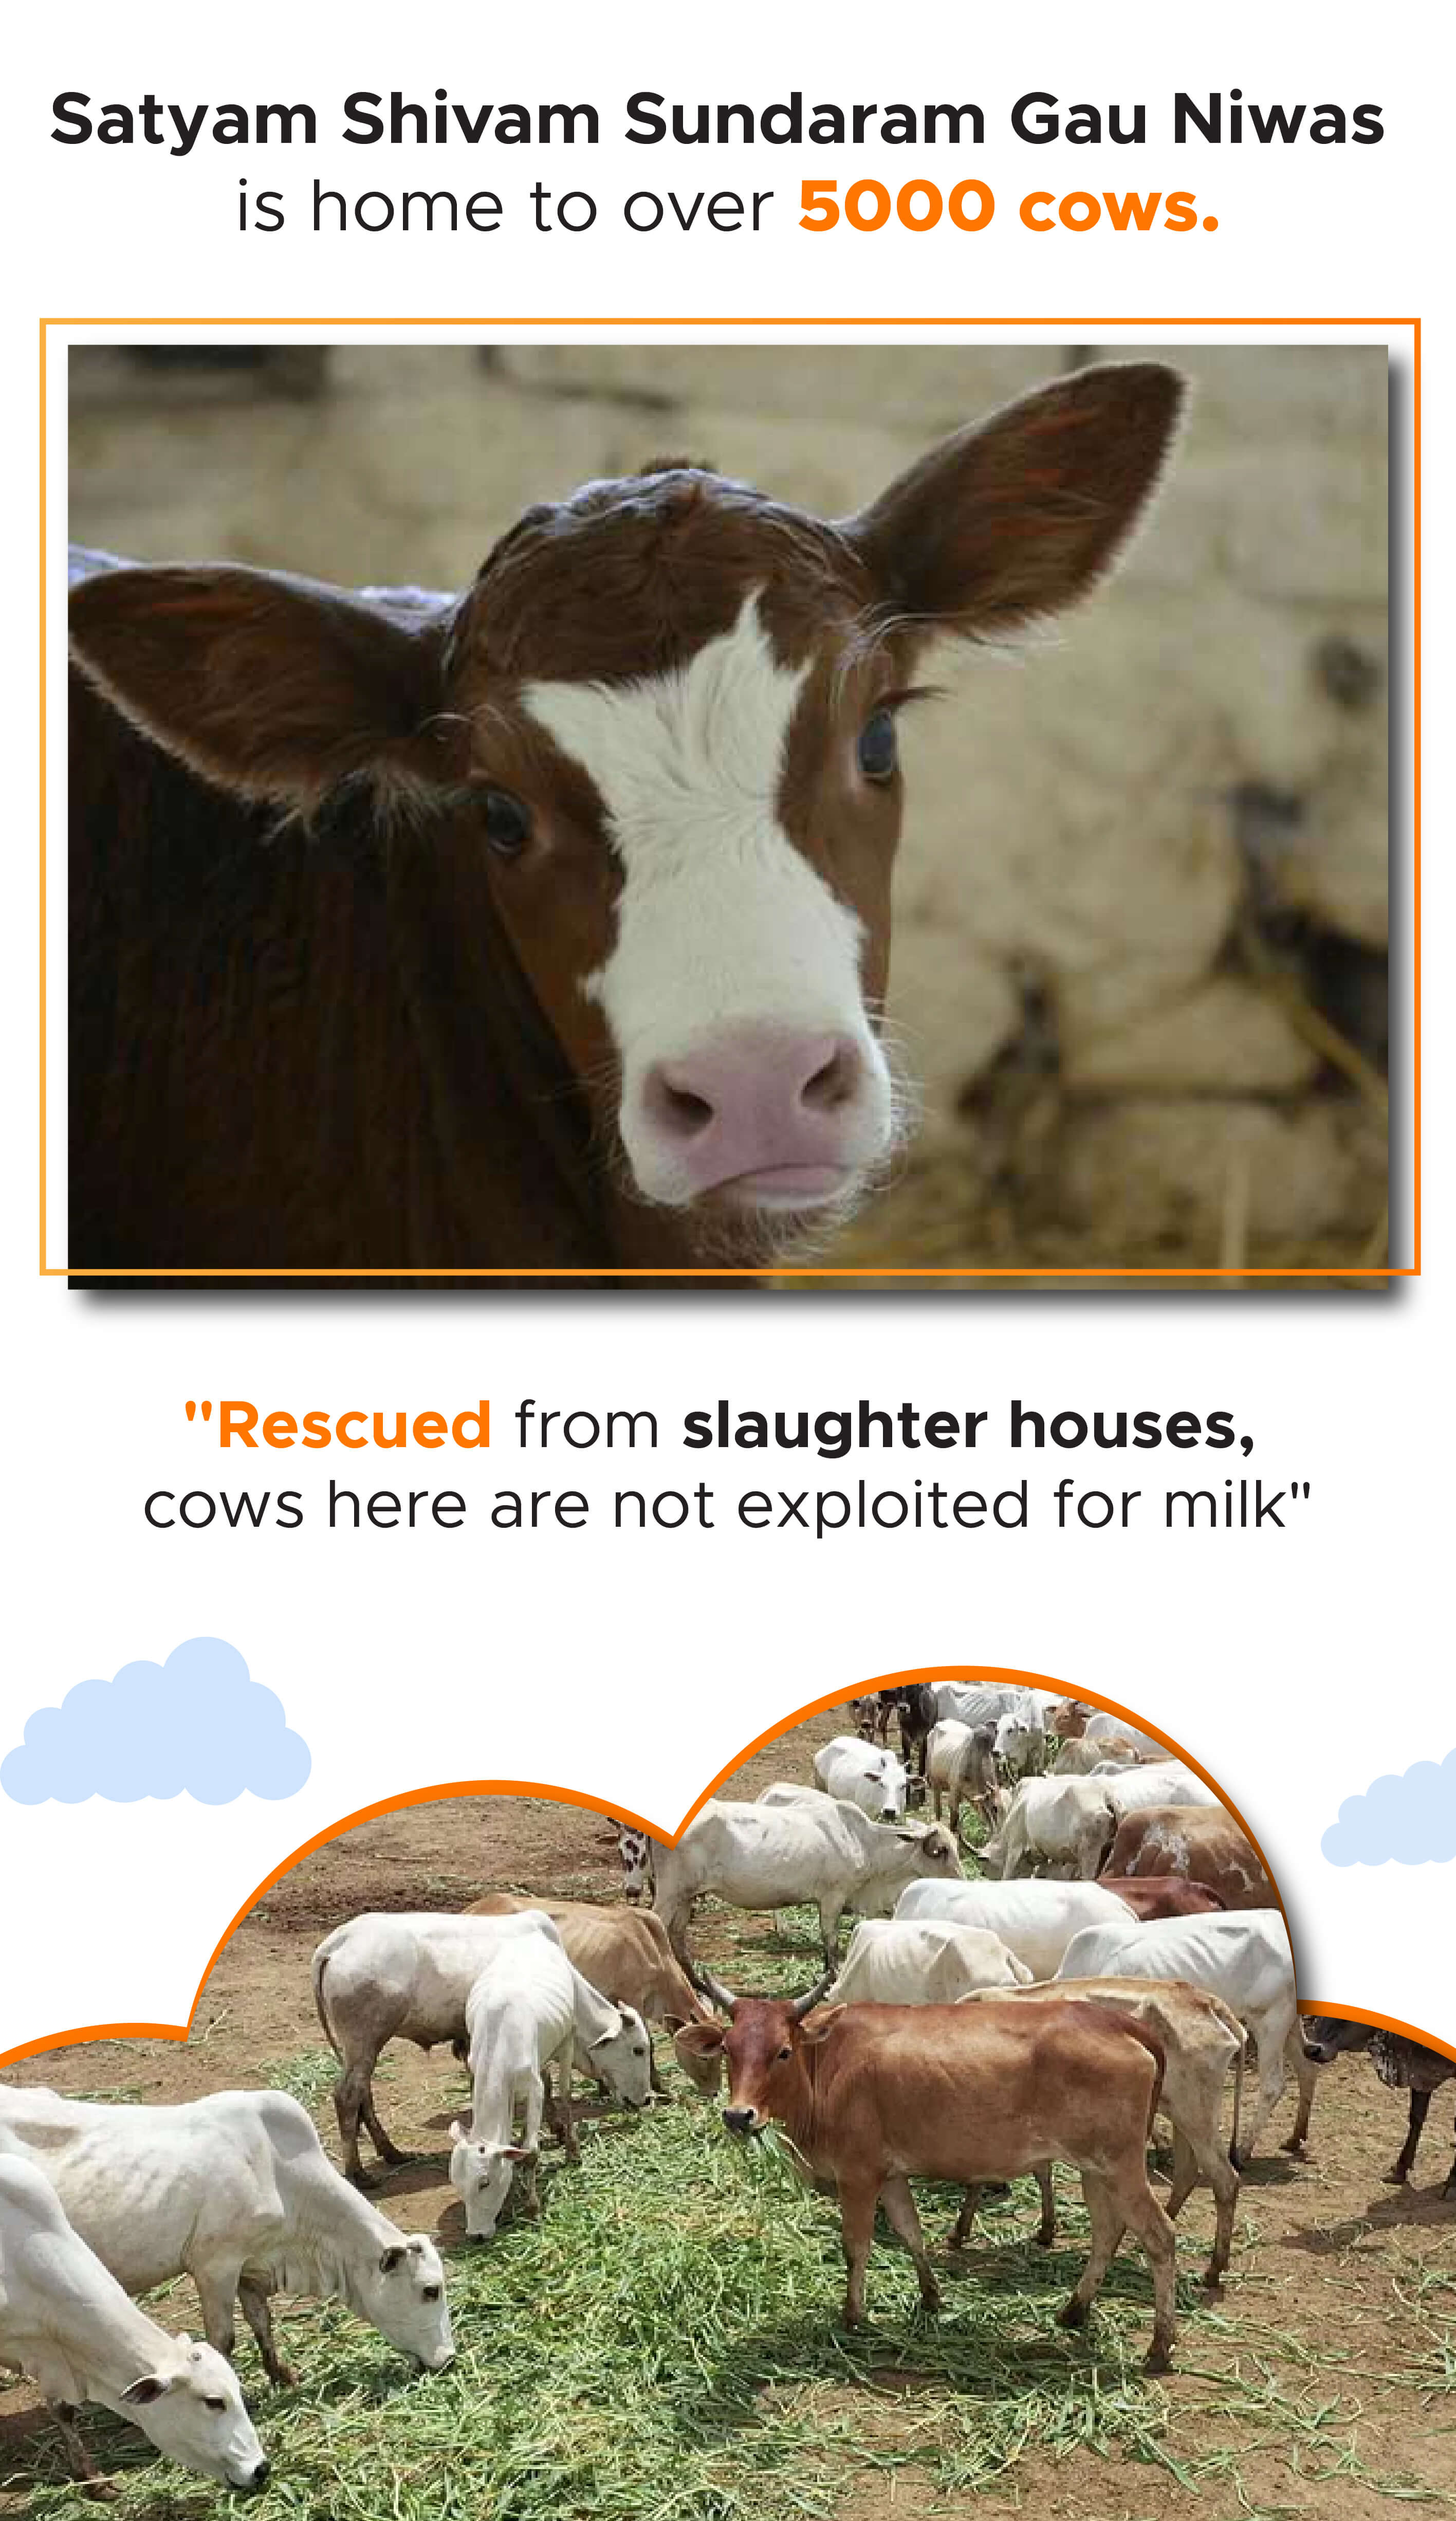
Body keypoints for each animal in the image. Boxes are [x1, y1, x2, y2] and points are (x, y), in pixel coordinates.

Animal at [0, 2083, 452, 2390]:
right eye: (430, 2290)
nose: (447, 2359)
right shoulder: (214, 2266)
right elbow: (224, 2339)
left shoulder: (251, 2264)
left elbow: (262, 2322)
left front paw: (282, 2375)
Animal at [311, 1908, 651, 2182]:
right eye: (639, 2049)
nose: (646, 2100)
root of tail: (337, 1942)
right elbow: (549, 2083)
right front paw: (560, 2133)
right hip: (367, 2037)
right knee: (348, 2096)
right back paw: (359, 2173)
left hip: (362, 2047)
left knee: (363, 2094)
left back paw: (392, 2153)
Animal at [646, 1799, 962, 1966]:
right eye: (941, 1850)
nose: (962, 1880)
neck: (864, 1842)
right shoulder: (833, 1897)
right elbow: (831, 1941)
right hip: (669, 1894)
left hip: (686, 1896)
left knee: (677, 1937)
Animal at [676, 1976, 1179, 2369]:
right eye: (727, 2049)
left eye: (782, 2052)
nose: (738, 2116)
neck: (827, 2068)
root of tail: (1121, 2023)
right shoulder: (890, 2173)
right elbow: (910, 2232)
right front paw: (931, 2297)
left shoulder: (857, 2175)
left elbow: (855, 2247)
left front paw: (852, 2316)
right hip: (1096, 2168)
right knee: (1107, 2231)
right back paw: (1074, 2312)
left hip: (1120, 2165)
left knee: (1158, 2236)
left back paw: (1158, 2347)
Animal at [1057, 1910, 1311, 2166]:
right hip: (1290, 2024)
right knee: (1307, 2066)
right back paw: (1294, 2138)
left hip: (1271, 2020)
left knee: (1273, 2086)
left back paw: (1243, 2150)